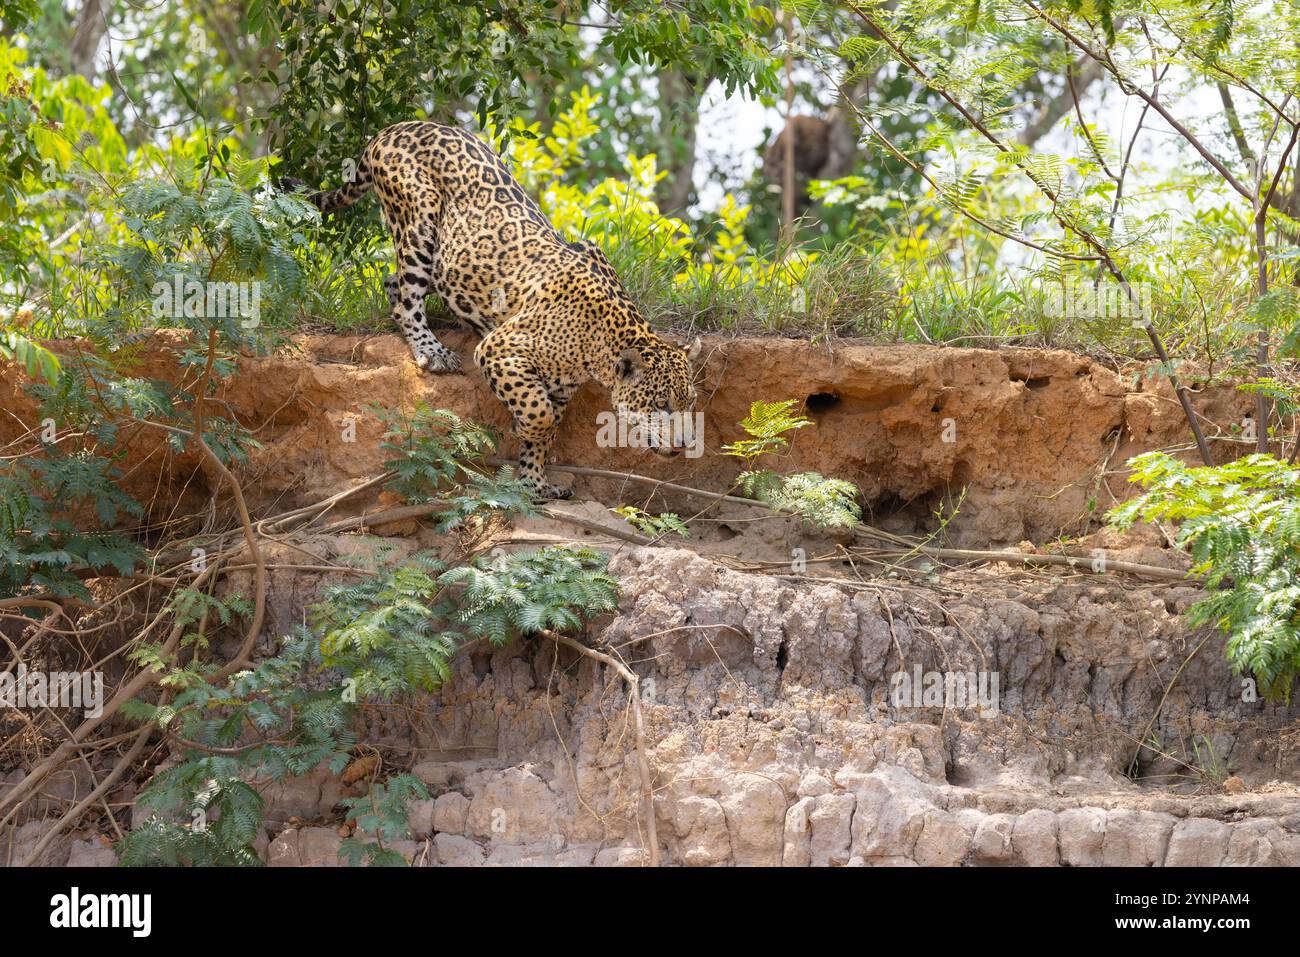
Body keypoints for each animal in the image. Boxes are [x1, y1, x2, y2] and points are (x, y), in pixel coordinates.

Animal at [306, 121, 701, 499]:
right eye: (662, 405)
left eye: (689, 403)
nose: (685, 445)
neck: (599, 341)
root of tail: (394, 128)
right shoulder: (500, 348)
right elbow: (539, 415)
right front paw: (522, 431)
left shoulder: (561, 386)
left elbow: (548, 427)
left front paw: (535, 483)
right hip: (419, 221)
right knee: (406, 300)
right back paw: (433, 351)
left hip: (444, 261)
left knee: (392, 282)